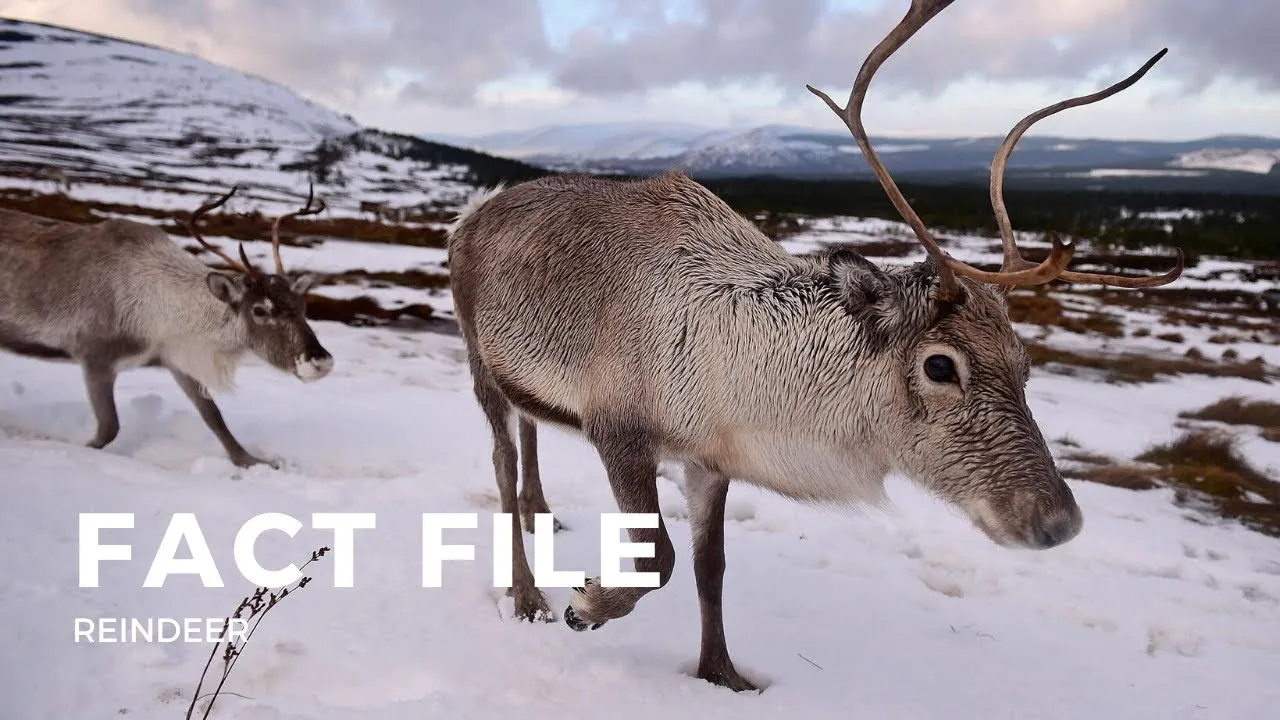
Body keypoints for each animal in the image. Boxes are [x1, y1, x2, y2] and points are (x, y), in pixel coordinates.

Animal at [0, 185, 334, 468]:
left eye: (302, 306)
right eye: (260, 310)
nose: (320, 361)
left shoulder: (177, 360)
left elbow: (215, 418)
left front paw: (252, 461)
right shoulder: (95, 355)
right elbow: (109, 428)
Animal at [445, 0, 1182, 693]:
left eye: (1026, 365)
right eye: (940, 366)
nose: (1058, 520)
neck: (738, 375)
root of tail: (474, 212)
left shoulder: (711, 460)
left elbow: (711, 566)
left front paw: (722, 675)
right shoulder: (619, 429)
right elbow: (661, 558)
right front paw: (587, 605)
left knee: (530, 433)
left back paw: (544, 518)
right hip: (479, 359)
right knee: (503, 464)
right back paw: (528, 596)